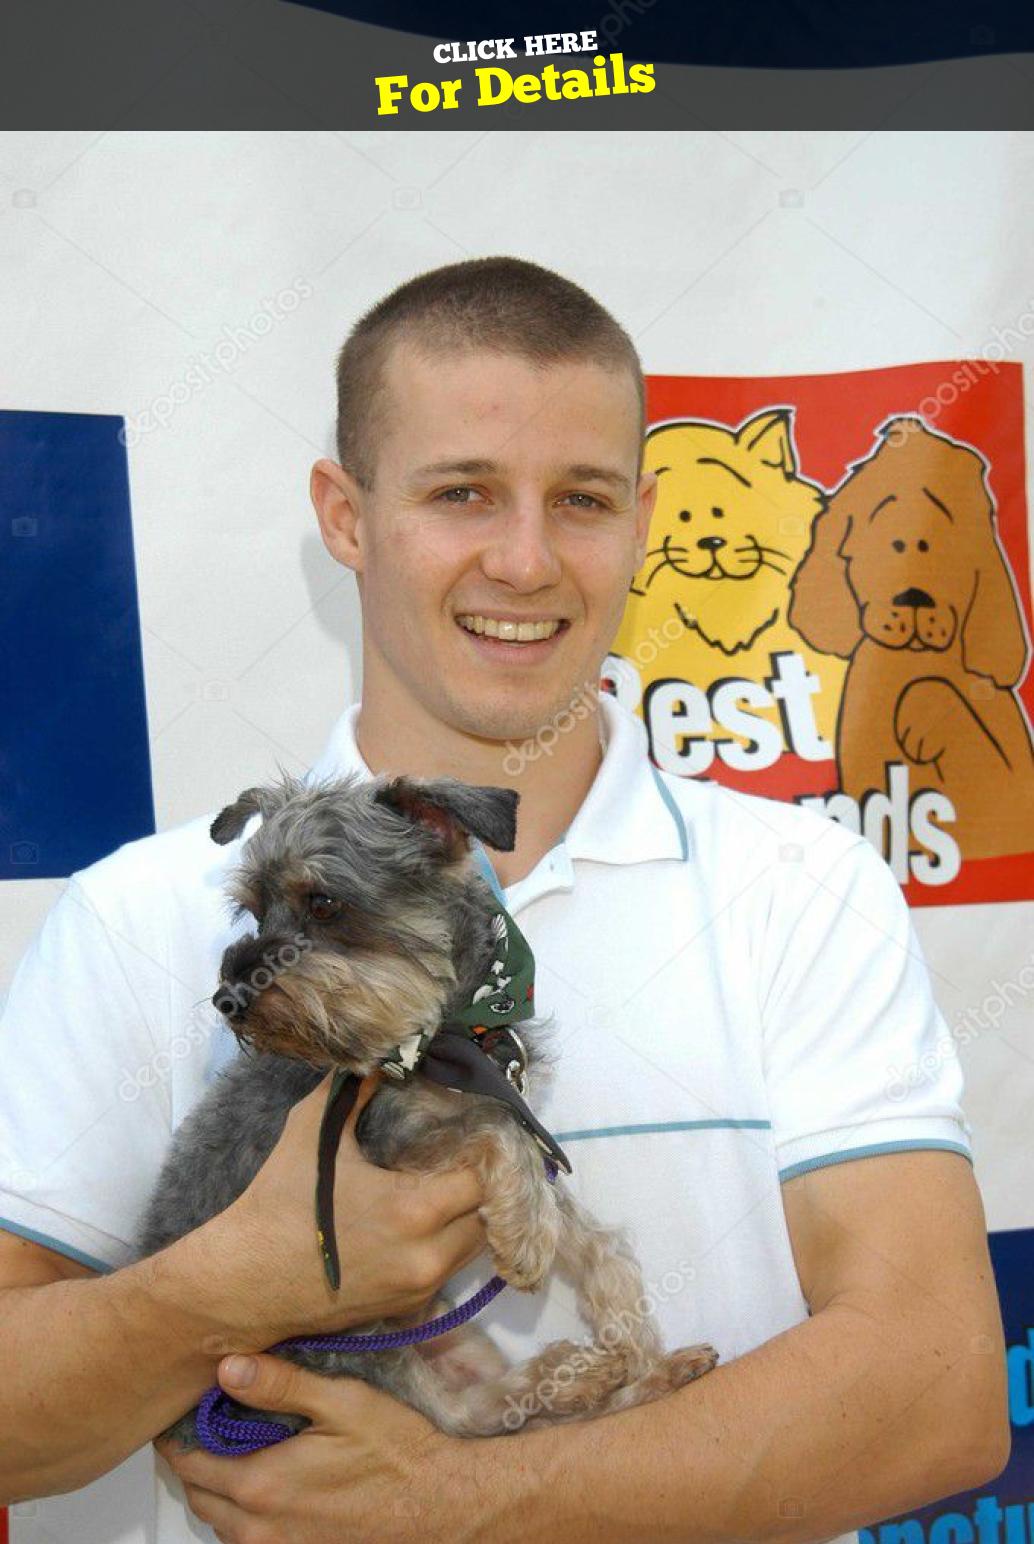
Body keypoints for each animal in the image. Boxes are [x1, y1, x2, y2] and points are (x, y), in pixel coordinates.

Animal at [131, 772, 722, 1445]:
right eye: (252, 911)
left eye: (323, 903)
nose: (228, 997)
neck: (449, 1033)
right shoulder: (386, 1136)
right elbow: (492, 1126)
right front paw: (526, 1237)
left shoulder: (530, 1139)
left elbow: (598, 1242)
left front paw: (636, 1343)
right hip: (349, 1351)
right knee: (464, 1417)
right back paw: (575, 1376)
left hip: (450, 1339)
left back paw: (632, 1378)